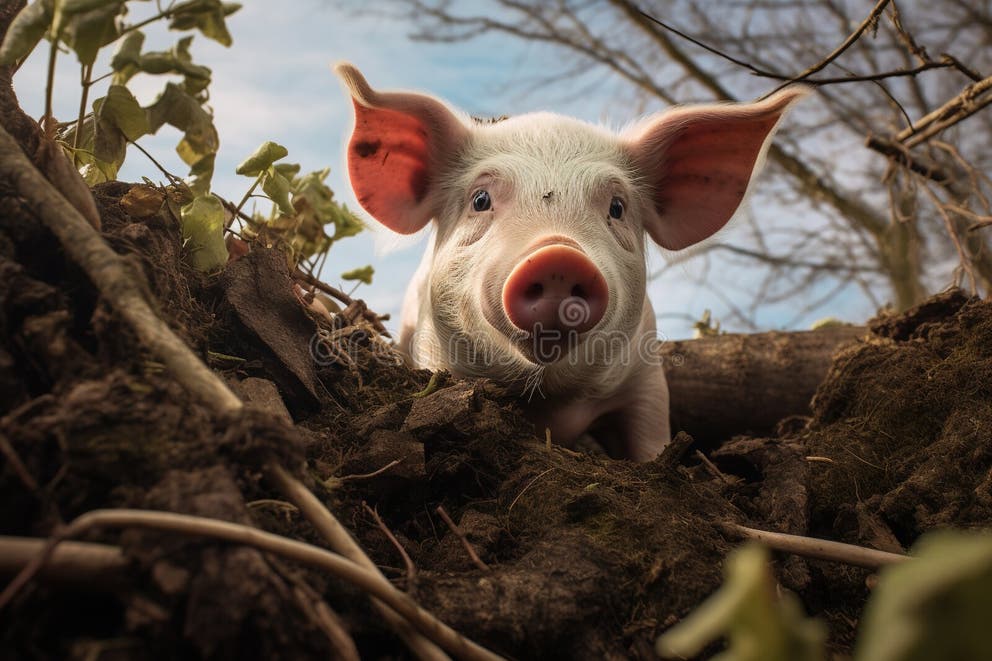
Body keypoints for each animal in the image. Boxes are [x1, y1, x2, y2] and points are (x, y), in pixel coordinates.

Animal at [335, 63, 805, 461]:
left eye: (617, 207)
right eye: (480, 200)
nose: (557, 256)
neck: (549, 402)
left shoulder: (646, 375)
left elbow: (651, 435)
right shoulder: (432, 355)